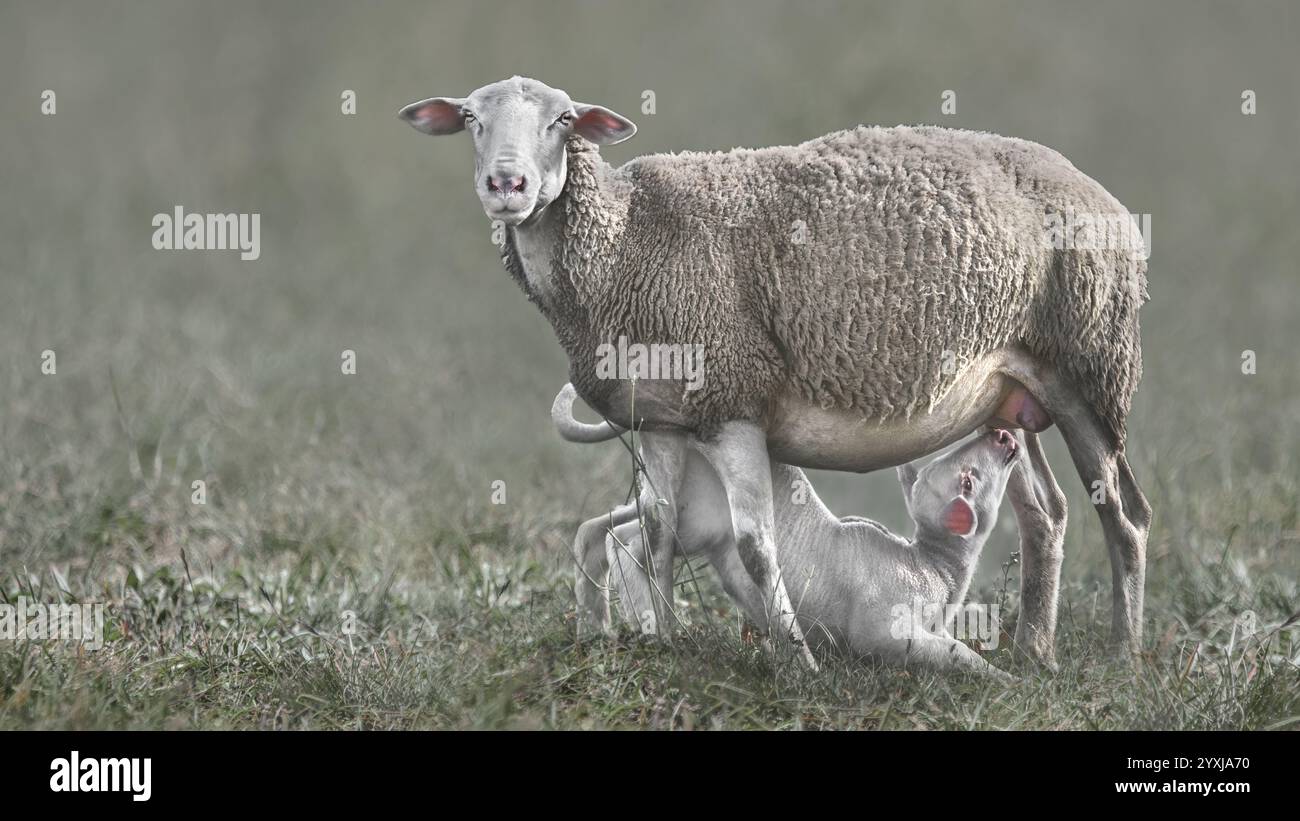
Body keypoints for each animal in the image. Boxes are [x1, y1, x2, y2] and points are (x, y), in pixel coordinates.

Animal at [401, 76, 1149, 667]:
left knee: (1125, 517)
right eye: (469, 117)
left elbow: (756, 546)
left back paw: (1124, 655)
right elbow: (659, 531)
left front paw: (800, 661)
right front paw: (664, 643)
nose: (507, 185)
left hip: (1092, 370)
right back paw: (1036, 651)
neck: (626, 240)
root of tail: (1100, 193)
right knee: (1046, 514)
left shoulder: (733, 399)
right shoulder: (662, 419)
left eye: (562, 119)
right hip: (1015, 392)